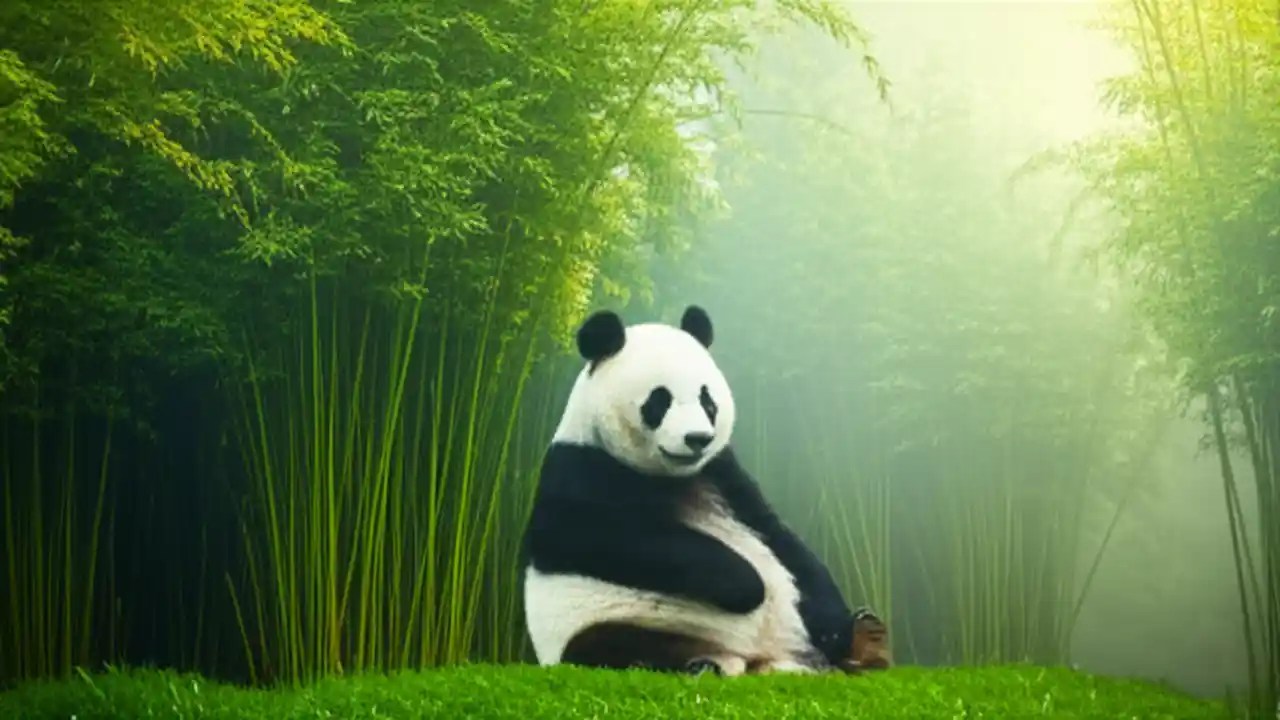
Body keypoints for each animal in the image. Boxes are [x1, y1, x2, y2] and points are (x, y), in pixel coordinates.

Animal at [520, 304, 889, 676]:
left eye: (707, 400)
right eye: (659, 401)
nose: (697, 438)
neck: (667, 475)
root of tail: (759, 661)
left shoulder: (722, 472)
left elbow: (778, 534)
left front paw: (833, 625)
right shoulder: (578, 468)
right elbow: (592, 536)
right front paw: (748, 584)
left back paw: (866, 640)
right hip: (610, 623)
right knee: (607, 648)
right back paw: (695, 665)